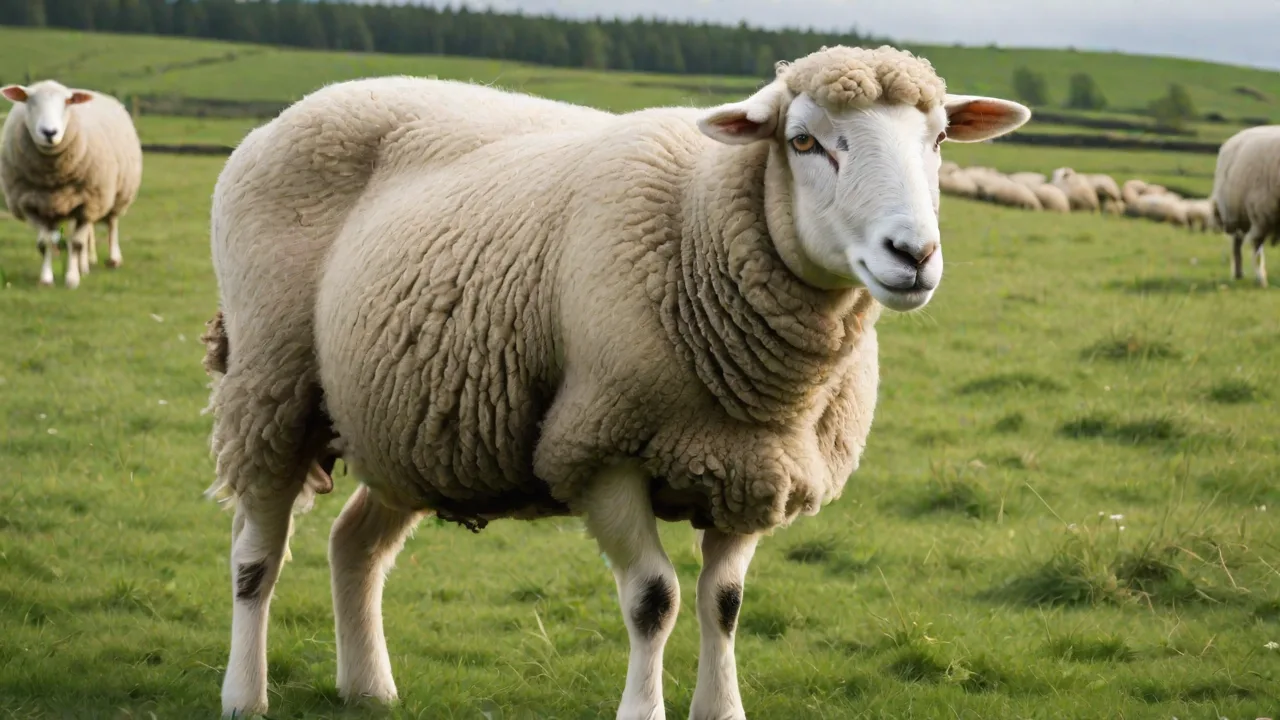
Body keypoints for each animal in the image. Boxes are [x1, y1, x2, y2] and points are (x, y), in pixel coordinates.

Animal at [1, 80, 142, 288]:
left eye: (68, 102)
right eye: (29, 101)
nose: (49, 132)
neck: (52, 176)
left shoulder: (90, 201)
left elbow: (76, 243)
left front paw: (72, 279)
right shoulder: (31, 204)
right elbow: (45, 243)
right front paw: (46, 278)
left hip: (115, 193)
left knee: (111, 223)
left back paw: (113, 259)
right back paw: (85, 264)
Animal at [201, 47, 1030, 719]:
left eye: (939, 139)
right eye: (803, 141)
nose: (913, 255)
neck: (699, 227)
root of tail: (304, 104)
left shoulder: (754, 465)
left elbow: (724, 603)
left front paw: (721, 709)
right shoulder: (599, 447)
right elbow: (654, 599)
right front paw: (644, 709)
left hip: (405, 422)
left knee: (355, 546)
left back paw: (368, 688)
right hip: (271, 382)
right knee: (254, 554)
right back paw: (244, 694)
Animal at [1211, 125, 1280, 286]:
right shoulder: (1261, 213)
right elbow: (1256, 246)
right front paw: (1261, 279)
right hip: (1235, 213)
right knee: (1238, 242)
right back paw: (1239, 274)